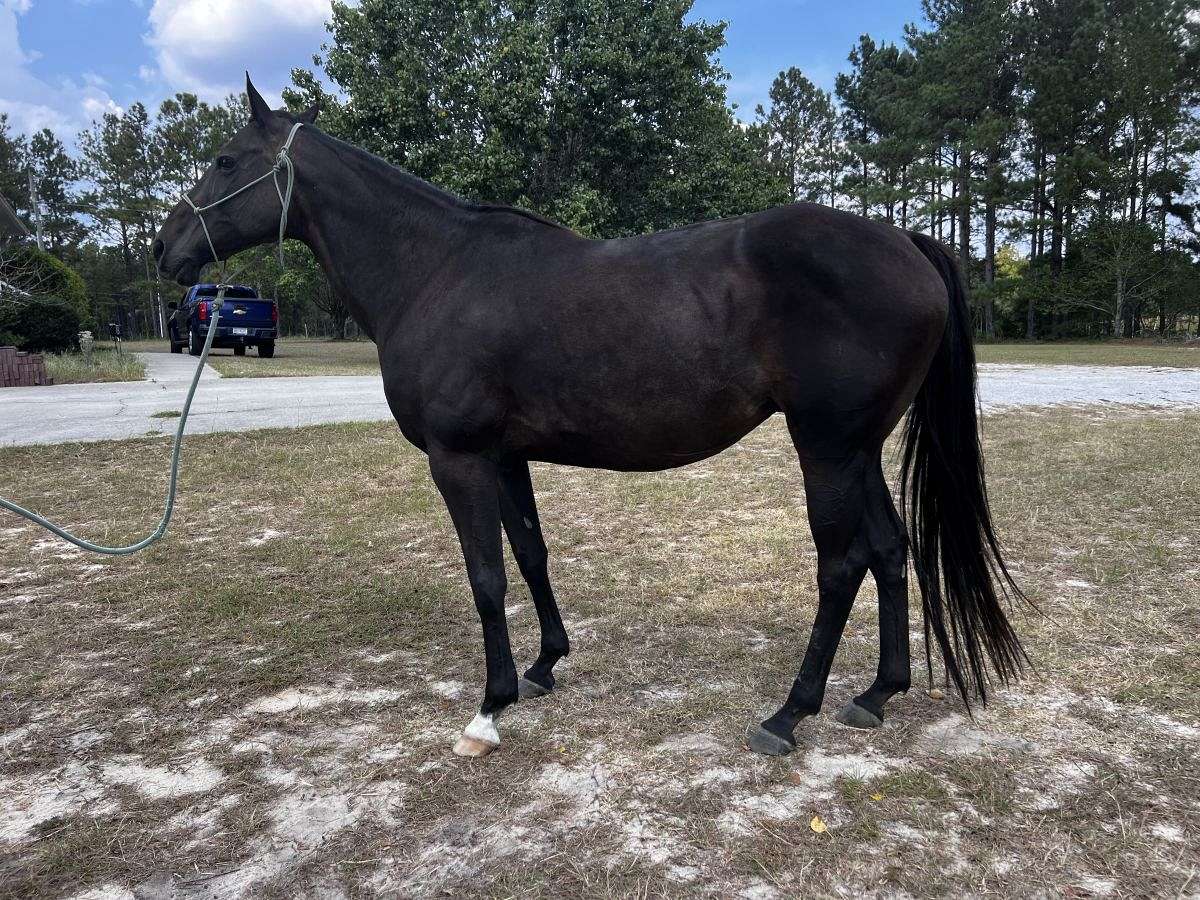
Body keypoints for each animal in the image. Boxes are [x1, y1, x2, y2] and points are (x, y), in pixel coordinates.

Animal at [153, 77, 1027, 759]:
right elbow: (531, 556)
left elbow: (485, 576)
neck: (436, 271)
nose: (165, 248)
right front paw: (544, 668)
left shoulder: (458, 459)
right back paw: (876, 694)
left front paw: (489, 707)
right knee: (889, 549)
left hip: (828, 448)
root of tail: (907, 244)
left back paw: (788, 714)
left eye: (226, 160)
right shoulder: (505, 457)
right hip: (858, 448)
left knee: (842, 564)